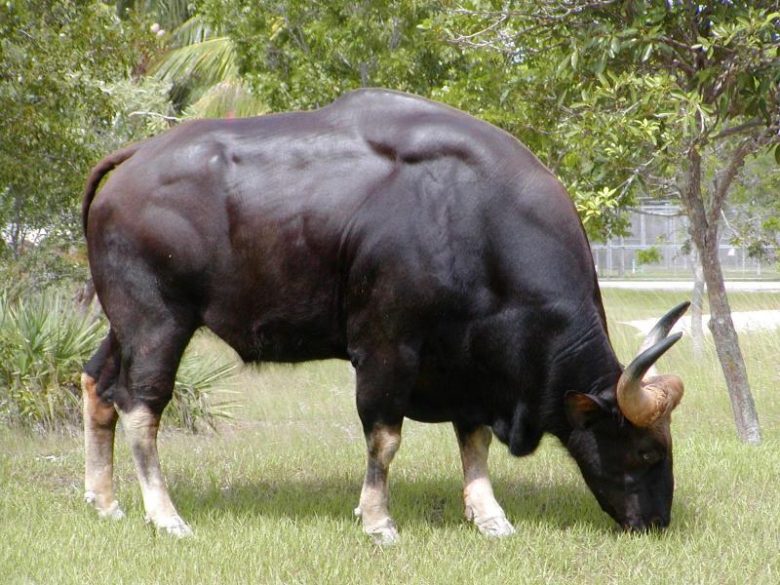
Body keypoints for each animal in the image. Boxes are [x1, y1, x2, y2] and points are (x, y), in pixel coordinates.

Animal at [81, 88, 688, 544]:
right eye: (648, 450)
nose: (657, 522)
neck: (470, 216)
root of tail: (134, 158)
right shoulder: (386, 348)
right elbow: (385, 437)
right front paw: (377, 520)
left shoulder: (468, 364)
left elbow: (474, 441)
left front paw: (489, 516)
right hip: (158, 321)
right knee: (141, 405)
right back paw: (165, 516)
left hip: (122, 324)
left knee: (97, 383)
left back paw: (105, 502)